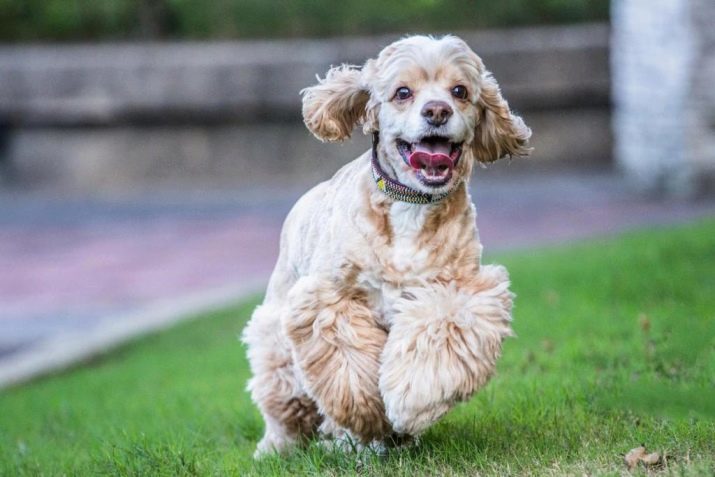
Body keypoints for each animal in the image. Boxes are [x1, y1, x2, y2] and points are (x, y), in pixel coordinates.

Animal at [245, 35, 532, 456]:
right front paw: (368, 413)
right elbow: (348, 364)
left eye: (460, 91)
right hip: (277, 340)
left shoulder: (458, 291)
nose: (437, 110)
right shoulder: (329, 299)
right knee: (285, 401)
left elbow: (435, 340)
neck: (409, 204)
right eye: (403, 92)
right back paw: (279, 447)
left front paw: (412, 403)